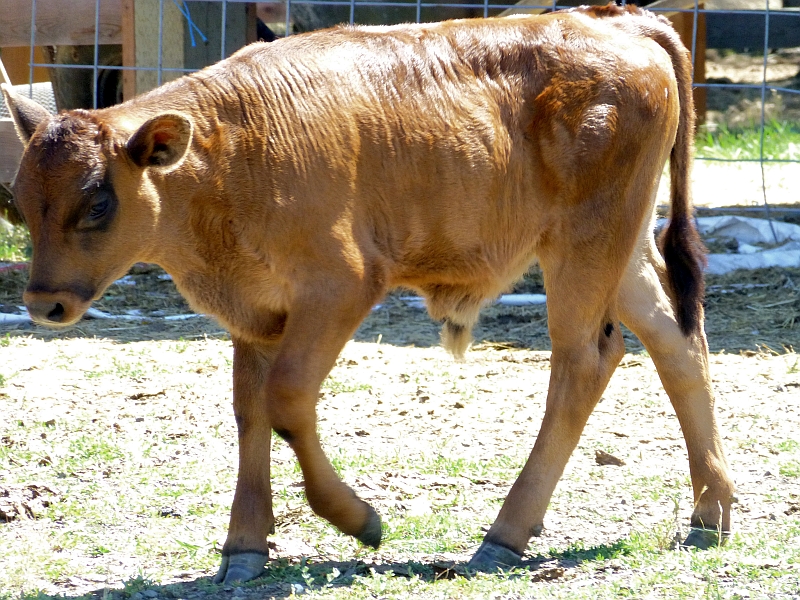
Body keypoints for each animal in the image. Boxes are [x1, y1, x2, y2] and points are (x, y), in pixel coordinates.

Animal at [2, 4, 734, 584]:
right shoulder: (256, 314)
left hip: (583, 248)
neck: (228, 149)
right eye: (23, 201)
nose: (44, 304)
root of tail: (618, 21)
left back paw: (502, 537)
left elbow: (287, 399)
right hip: (623, 253)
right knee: (677, 342)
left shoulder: (340, 290)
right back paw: (711, 513)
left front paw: (360, 521)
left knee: (584, 360)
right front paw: (243, 549)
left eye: (98, 203)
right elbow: (249, 414)